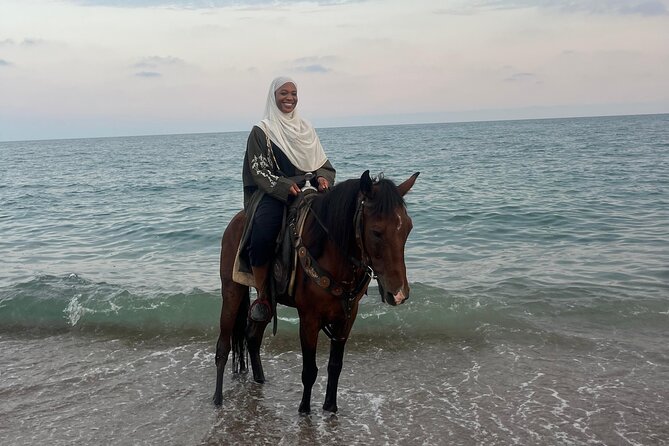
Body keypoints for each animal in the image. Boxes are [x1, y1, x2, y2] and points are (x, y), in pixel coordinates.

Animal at [213, 170, 419, 413]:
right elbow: (310, 370)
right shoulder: (309, 319)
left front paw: (330, 407)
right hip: (232, 291)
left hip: (267, 300)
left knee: (253, 336)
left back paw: (260, 379)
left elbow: (335, 365)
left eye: (408, 228)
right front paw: (304, 410)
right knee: (223, 345)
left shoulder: (347, 317)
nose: (399, 294)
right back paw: (217, 398)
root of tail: (237, 221)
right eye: (376, 232)